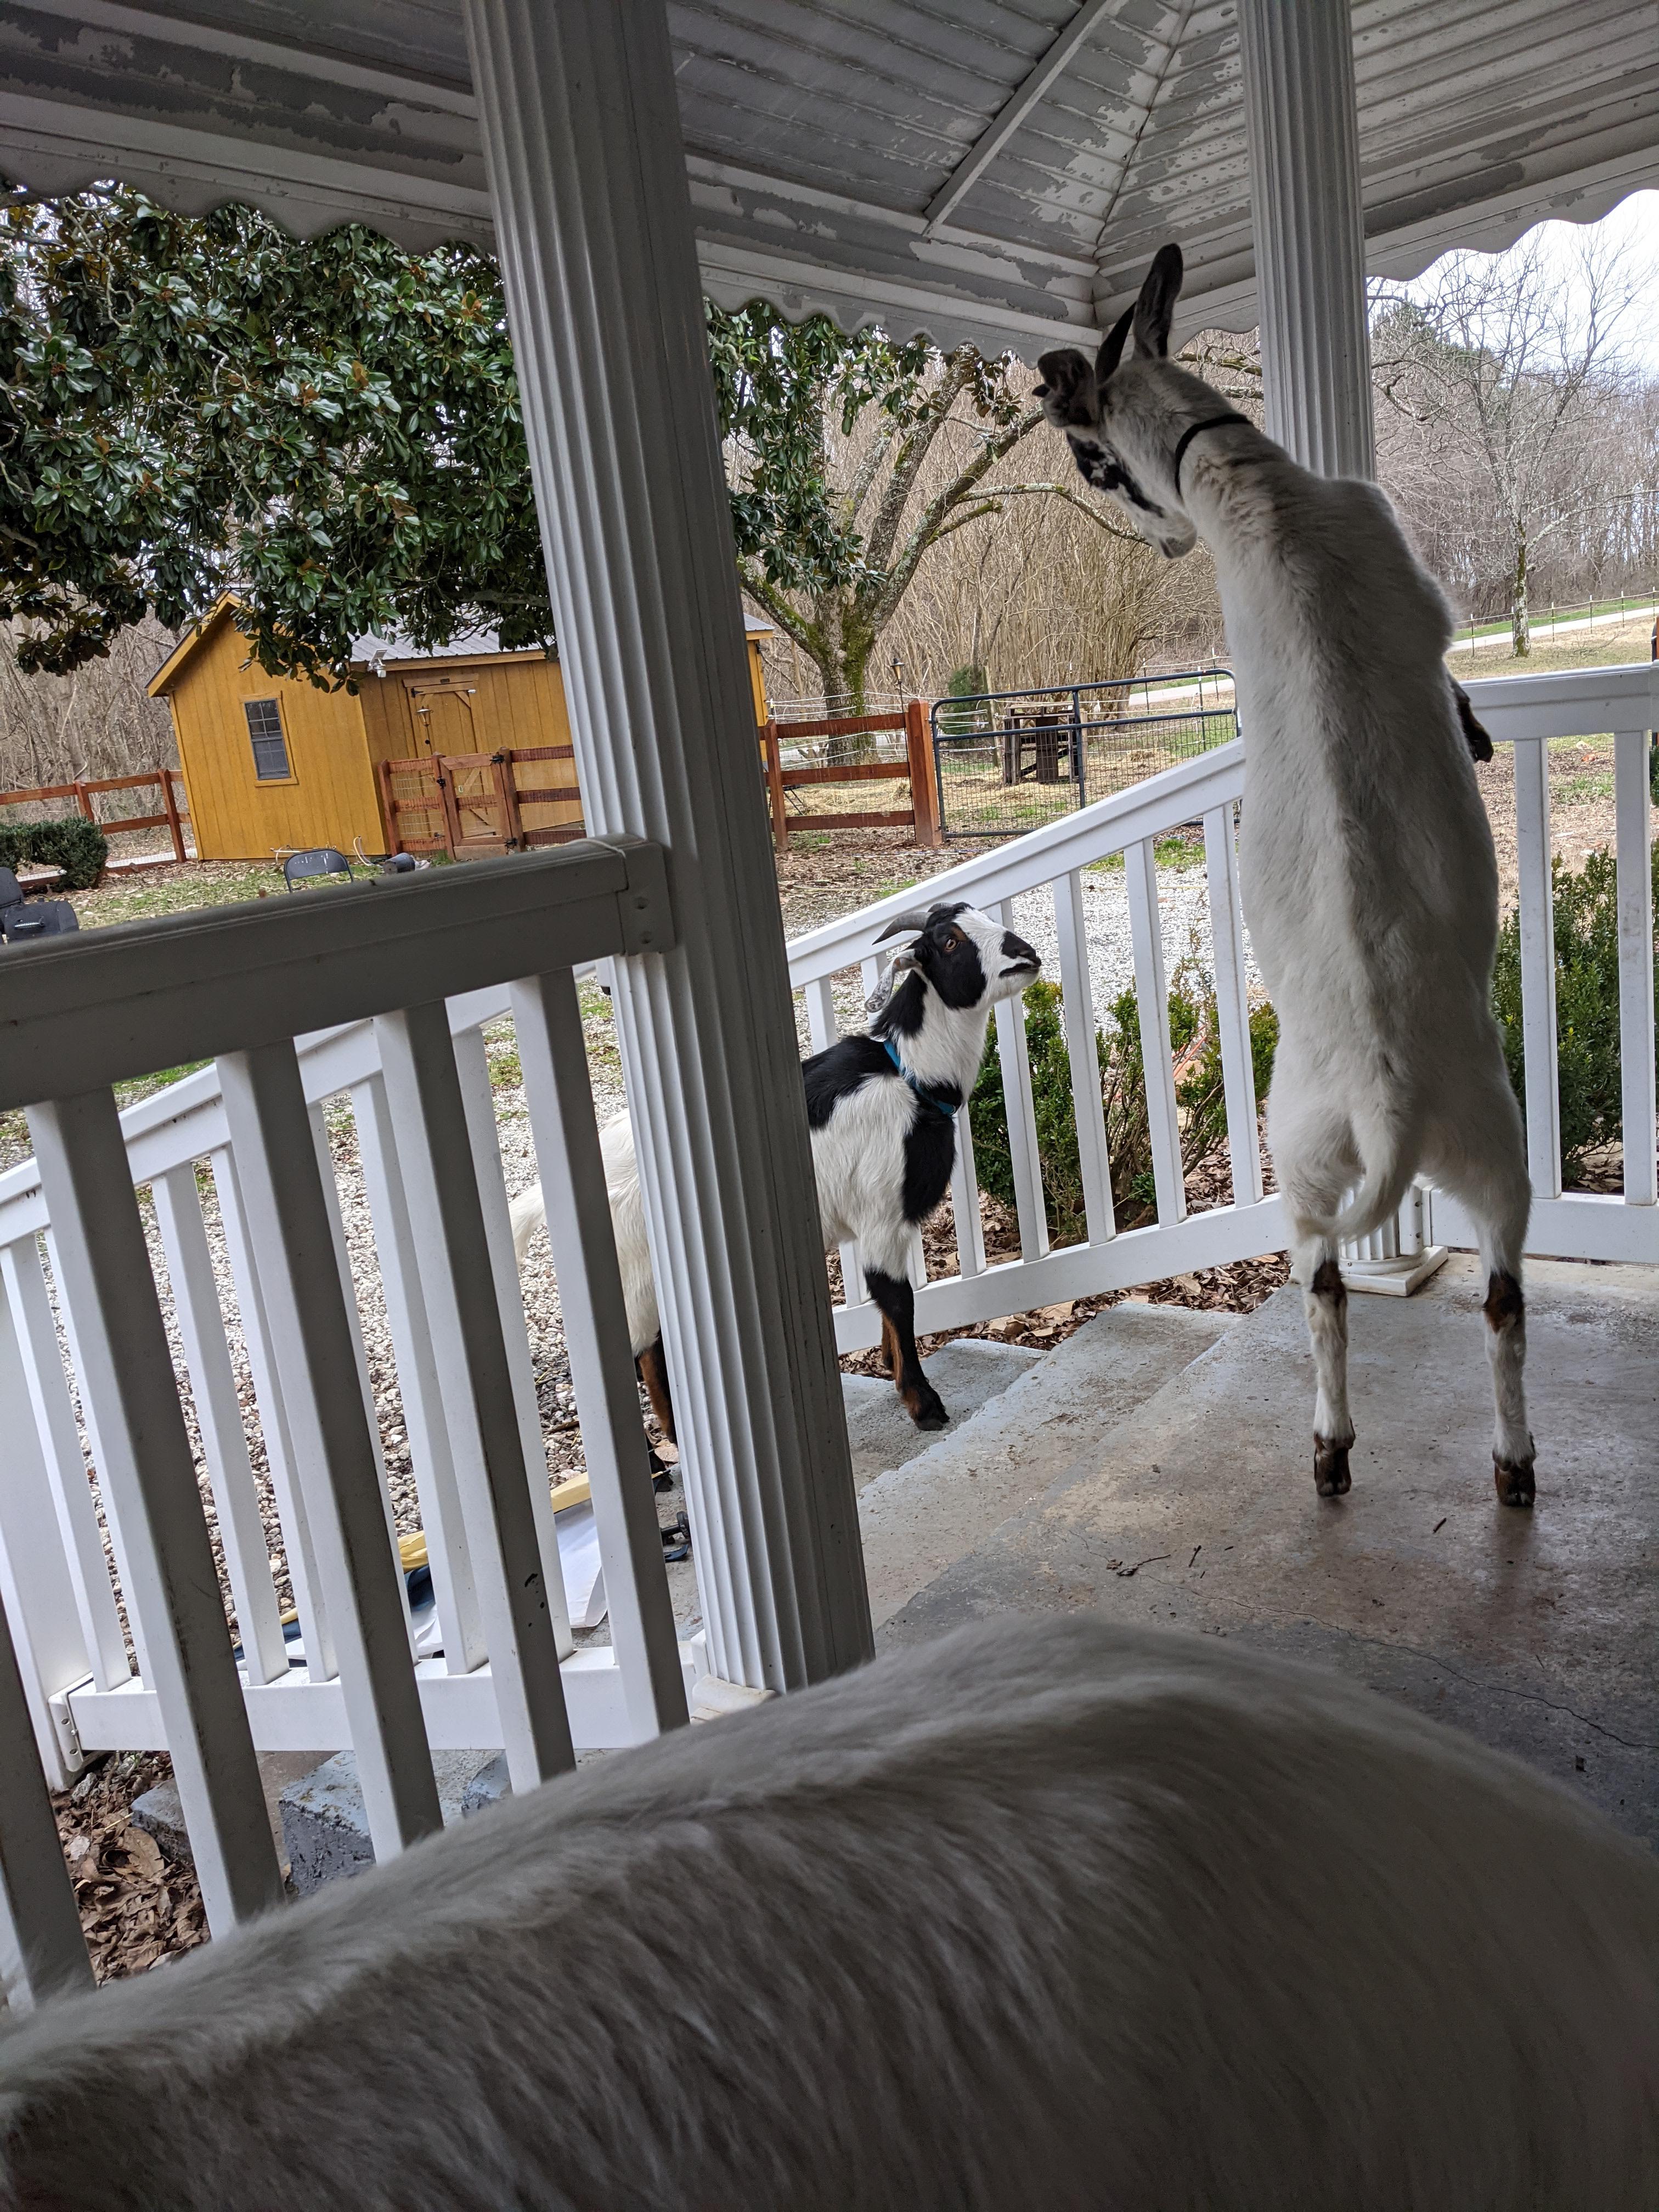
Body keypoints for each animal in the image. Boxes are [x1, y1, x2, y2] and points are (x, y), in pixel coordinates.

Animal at [512, 901, 1039, 1437]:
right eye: (950, 941)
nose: (1027, 954)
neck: (910, 1074)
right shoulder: (880, 1217)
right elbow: (898, 1300)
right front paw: (923, 1403)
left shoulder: (889, 1220)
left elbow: (890, 1302)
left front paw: (892, 1369)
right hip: (638, 1277)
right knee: (645, 1355)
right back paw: (674, 1448)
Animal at [1036, 245, 1537, 1507]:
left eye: (1094, 464)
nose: (1157, 545)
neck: (1243, 489)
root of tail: (1388, 1099)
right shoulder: (1419, 590)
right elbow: (1453, 683)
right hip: (1488, 1144)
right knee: (1496, 1304)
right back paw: (1505, 1464)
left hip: (1320, 1162)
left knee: (1334, 1296)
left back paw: (1336, 1450)